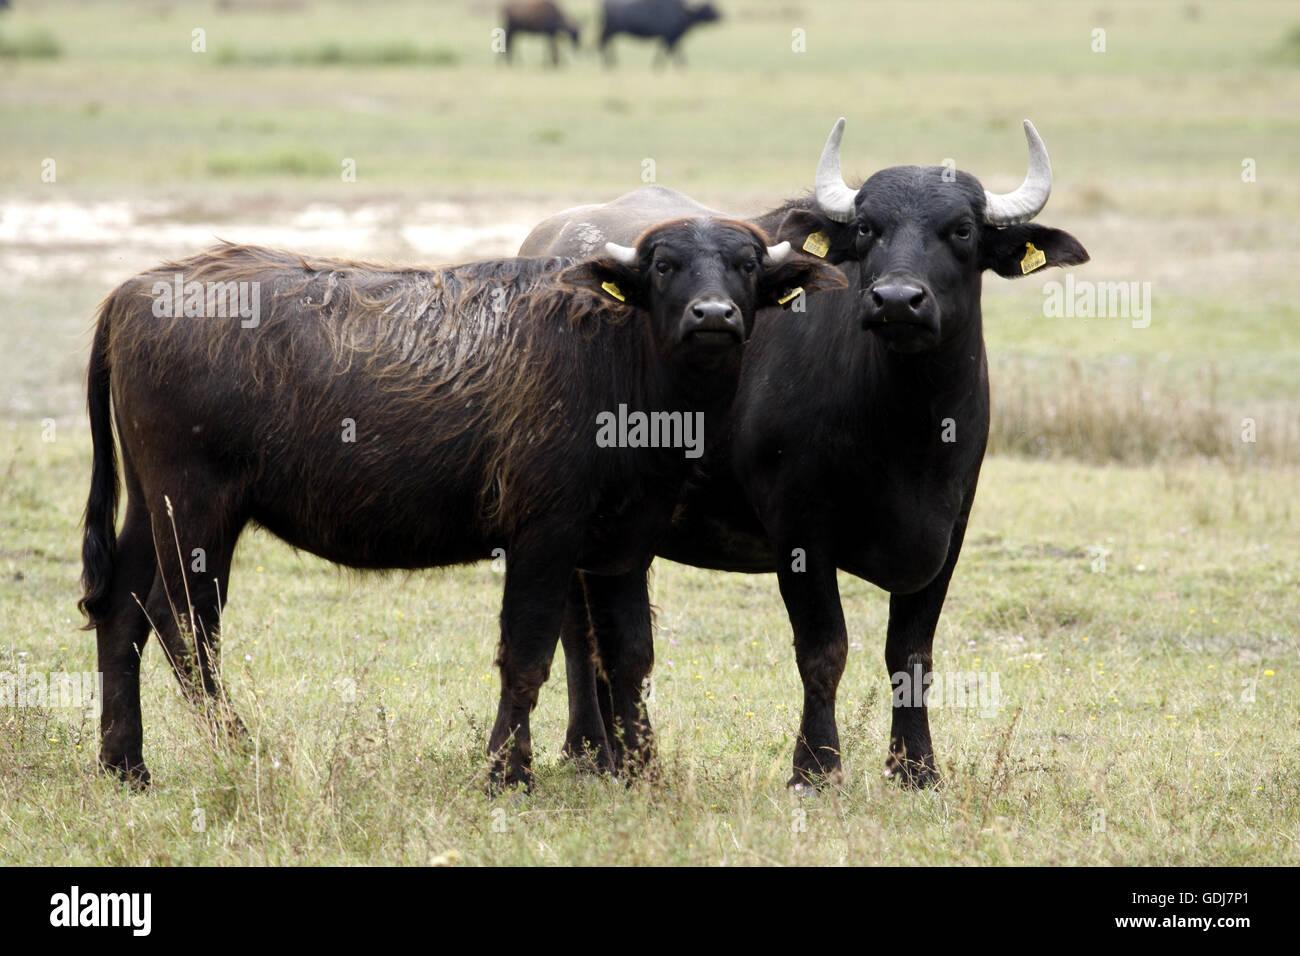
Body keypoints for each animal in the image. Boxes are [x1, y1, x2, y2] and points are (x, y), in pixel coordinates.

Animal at [79, 222, 844, 791]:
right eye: (664, 264)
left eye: (746, 265)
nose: (712, 315)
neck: (618, 361)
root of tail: (132, 291)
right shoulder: (543, 537)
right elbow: (527, 655)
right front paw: (508, 774)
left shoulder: (625, 545)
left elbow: (629, 657)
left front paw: (642, 773)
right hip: (196, 506)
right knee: (184, 622)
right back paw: (238, 746)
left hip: (149, 505)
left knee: (122, 614)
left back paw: (125, 766)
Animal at [522, 120, 1089, 786]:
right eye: (867, 227)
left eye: (962, 230)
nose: (897, 300)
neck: (906, 429)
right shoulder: (797, 528)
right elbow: (824, 649)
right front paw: (815, 768)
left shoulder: (950, 531)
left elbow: (911, 653)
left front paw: (916, 768)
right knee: (576, 628)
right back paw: (587, 749)